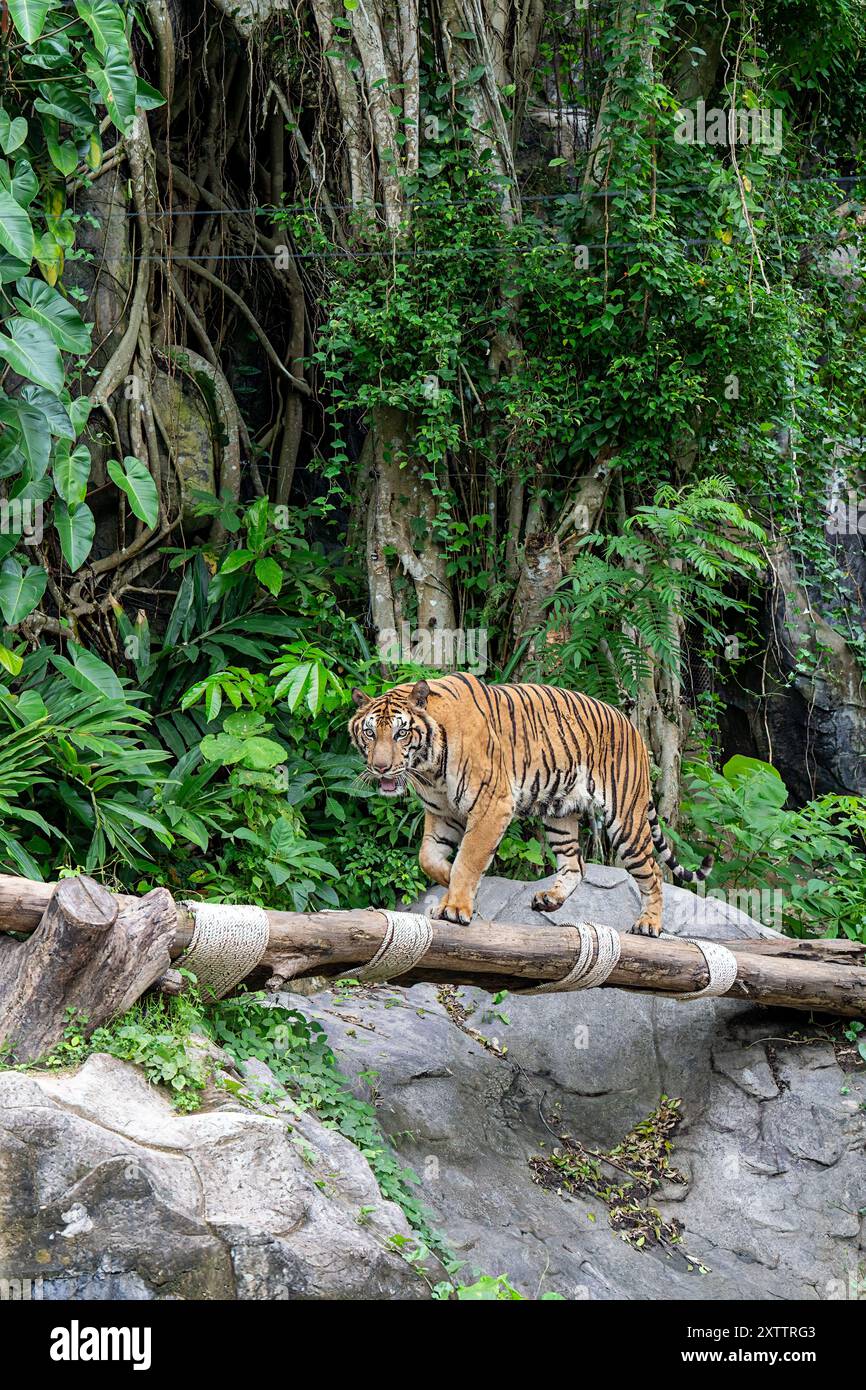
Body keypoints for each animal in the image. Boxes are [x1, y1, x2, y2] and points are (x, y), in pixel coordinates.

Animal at [348, 672, 713, 935]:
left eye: (401, 733)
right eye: (370, 733)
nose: (380, 767)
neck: (428, 769)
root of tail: (631, 724)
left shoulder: (492, 805)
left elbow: (468, 858)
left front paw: (455, 908)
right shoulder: (442, 813)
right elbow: (428, 858)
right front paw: (449, 889)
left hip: (626, 819)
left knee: (653, 872)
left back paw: (649, 924)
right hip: (559, 812)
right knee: (575, 864)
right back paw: (550, 900)